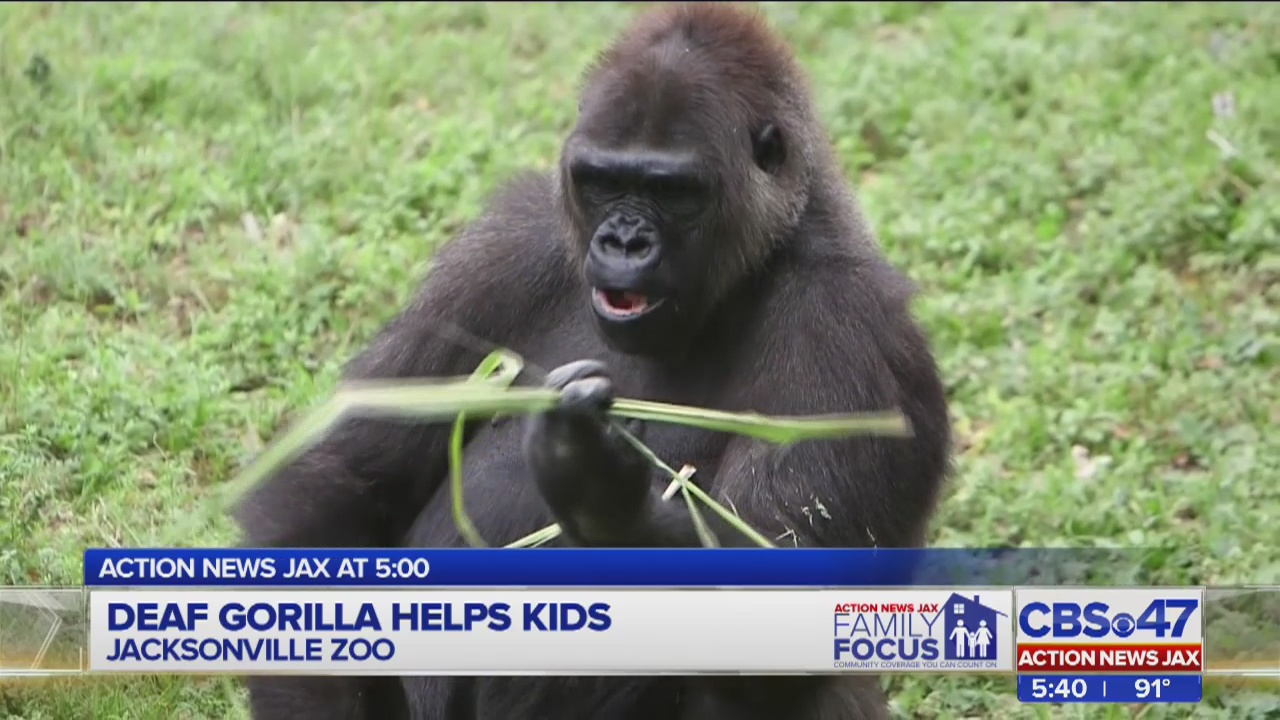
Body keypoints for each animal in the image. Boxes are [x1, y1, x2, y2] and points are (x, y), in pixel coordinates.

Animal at [234, 3, 951, 719]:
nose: (624, 242)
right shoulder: (503, 248)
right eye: (603, 182)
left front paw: (606, 503)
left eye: (673, 191)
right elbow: (339, 479)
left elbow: (786, 599)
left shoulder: (853, 326)